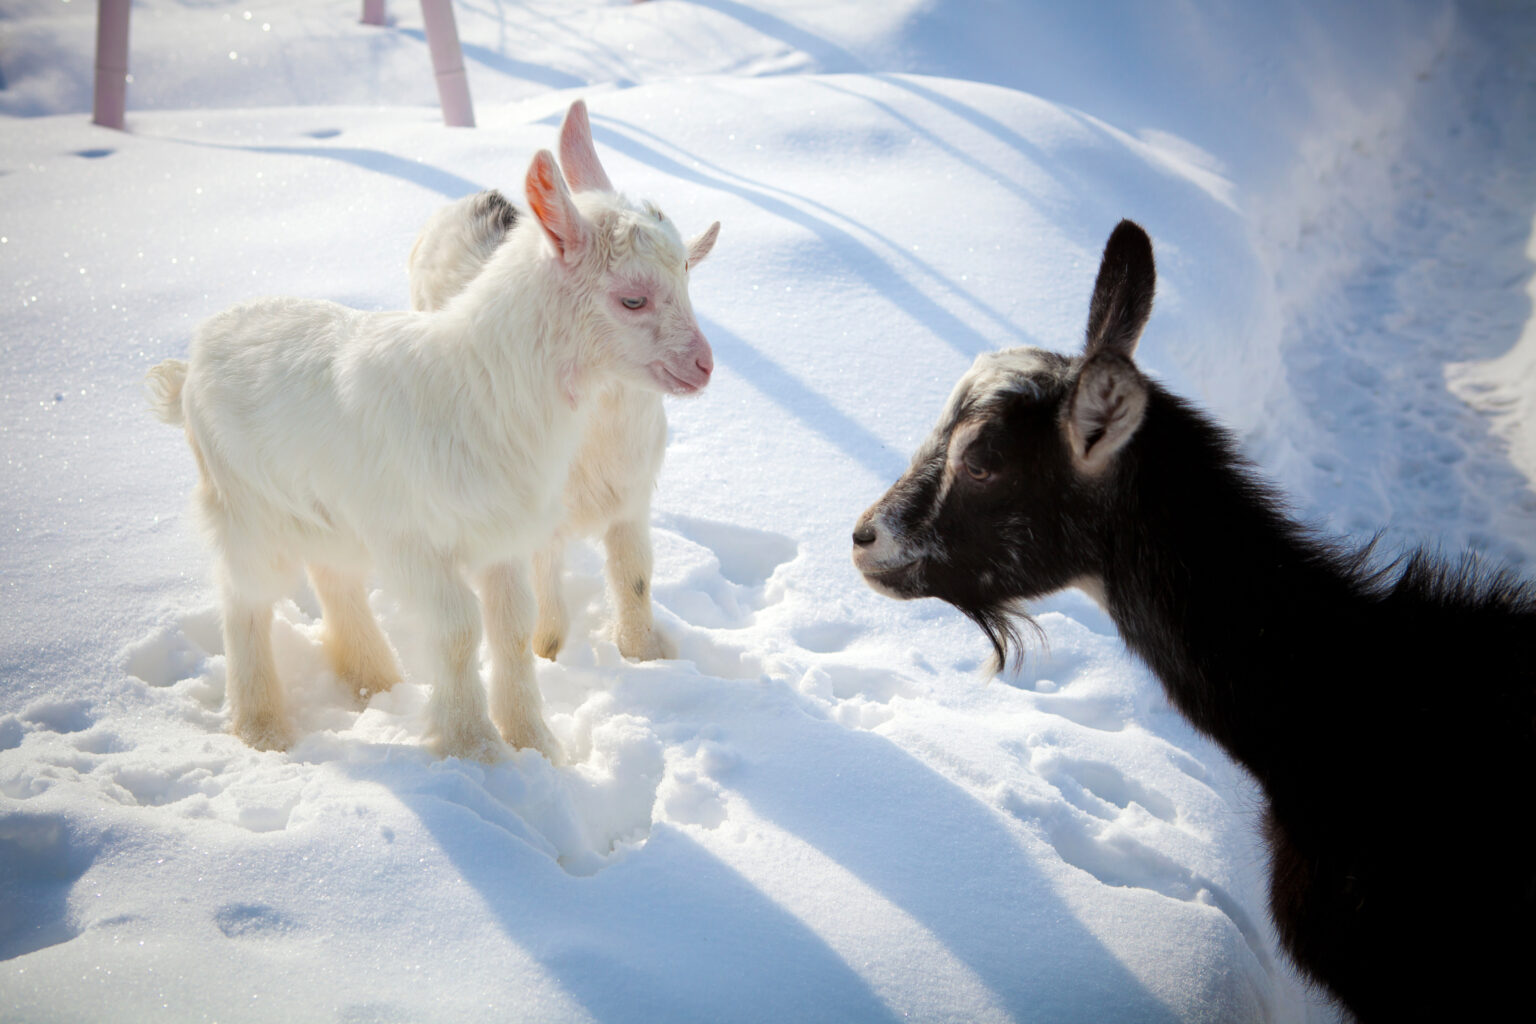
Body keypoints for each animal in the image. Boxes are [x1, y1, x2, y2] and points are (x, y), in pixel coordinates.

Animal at [407, 100, 706, 662]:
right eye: (633, 299)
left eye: (687, 273)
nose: (704, 364)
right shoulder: (535, 515)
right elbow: (543, 599)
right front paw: (547, 654)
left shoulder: (632, 498)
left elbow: (634, 580)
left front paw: (642, 657)